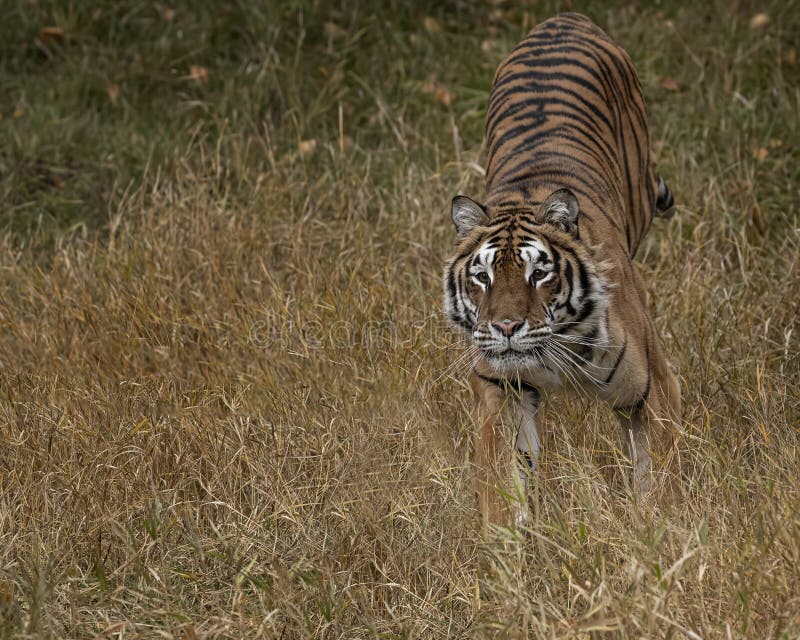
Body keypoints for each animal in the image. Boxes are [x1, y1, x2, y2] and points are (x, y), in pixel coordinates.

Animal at [442, 13, 681, 529]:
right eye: (482, 276)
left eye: (538, 274)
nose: (505, 327)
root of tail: (564, 18)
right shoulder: (499, 389)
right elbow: (501, 482)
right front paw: (503, 544)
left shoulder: (653, 386)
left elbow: (662, 475)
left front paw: (665, 530)